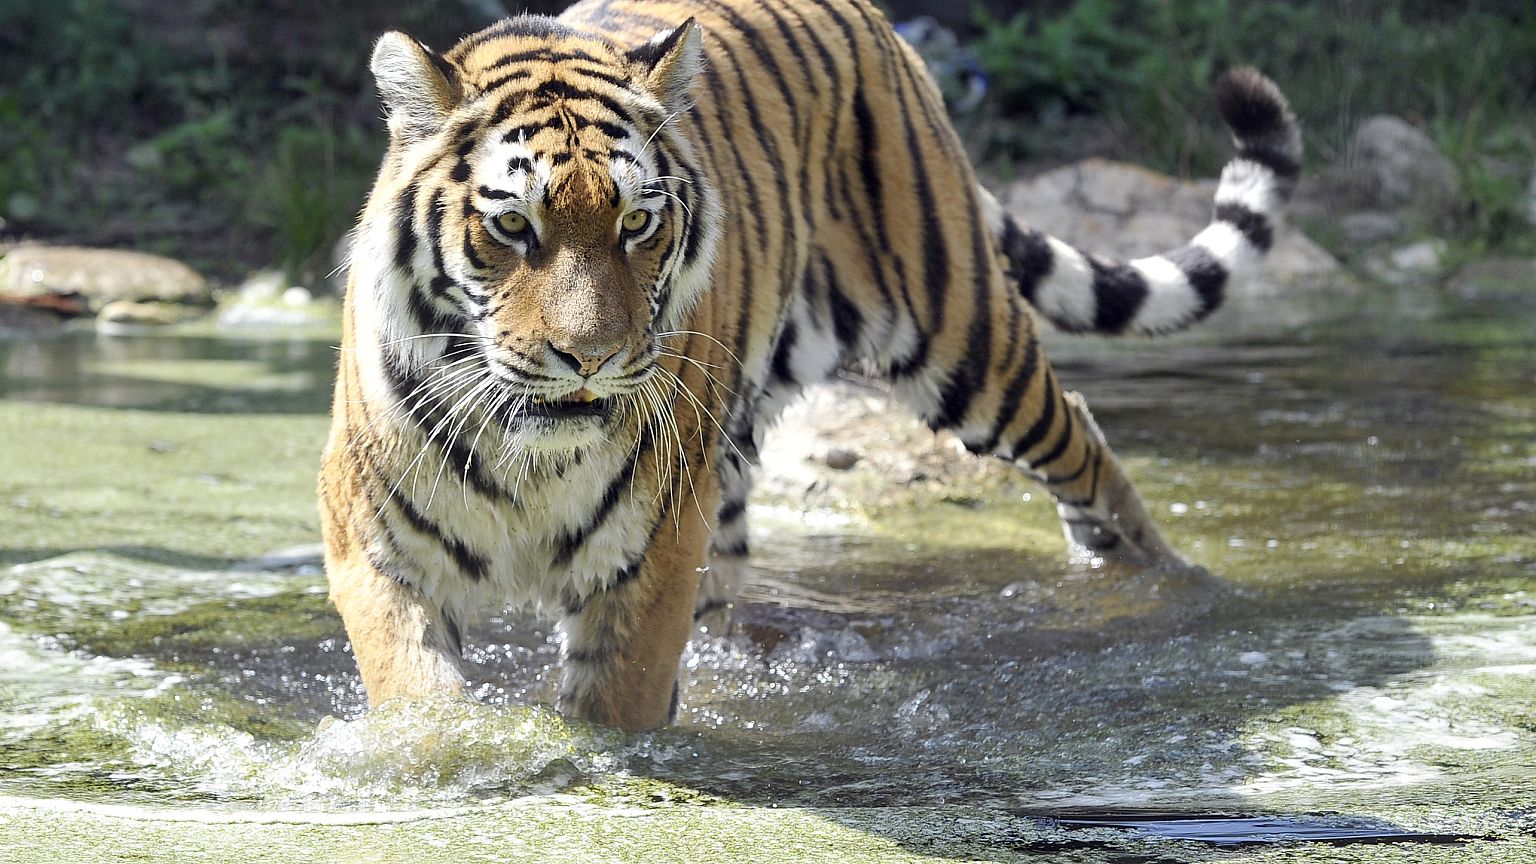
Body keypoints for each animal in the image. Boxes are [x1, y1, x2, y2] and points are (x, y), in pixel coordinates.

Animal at [318, 0, 1301, 731]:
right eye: (513, 224)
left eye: (637, 223)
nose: (590, 357)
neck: (532, 454)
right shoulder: (373, 538)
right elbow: (415, 693)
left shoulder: (652, 549)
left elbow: (616, 704)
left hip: (963, 341)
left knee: (1084, 441)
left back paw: (1162, 585)